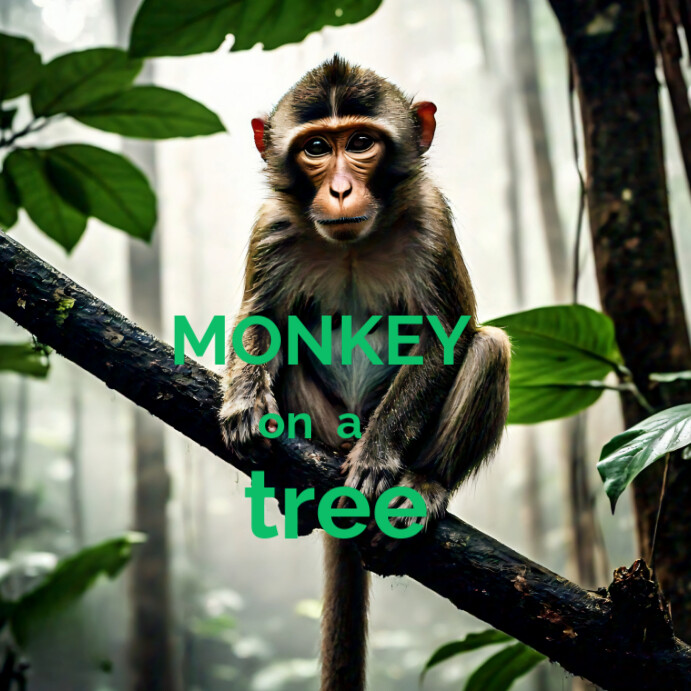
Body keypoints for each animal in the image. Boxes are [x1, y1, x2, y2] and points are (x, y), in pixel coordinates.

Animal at [219, 56, 511, 691]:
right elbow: (263, 319)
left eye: (359, 144)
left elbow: (447, 335)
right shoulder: (272, 226)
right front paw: (246, 403)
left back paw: (422, 484)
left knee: (491, 347)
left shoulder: (432, 221)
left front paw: (379, 459)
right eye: (315, 148)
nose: (339, 189)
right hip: (326, 425)